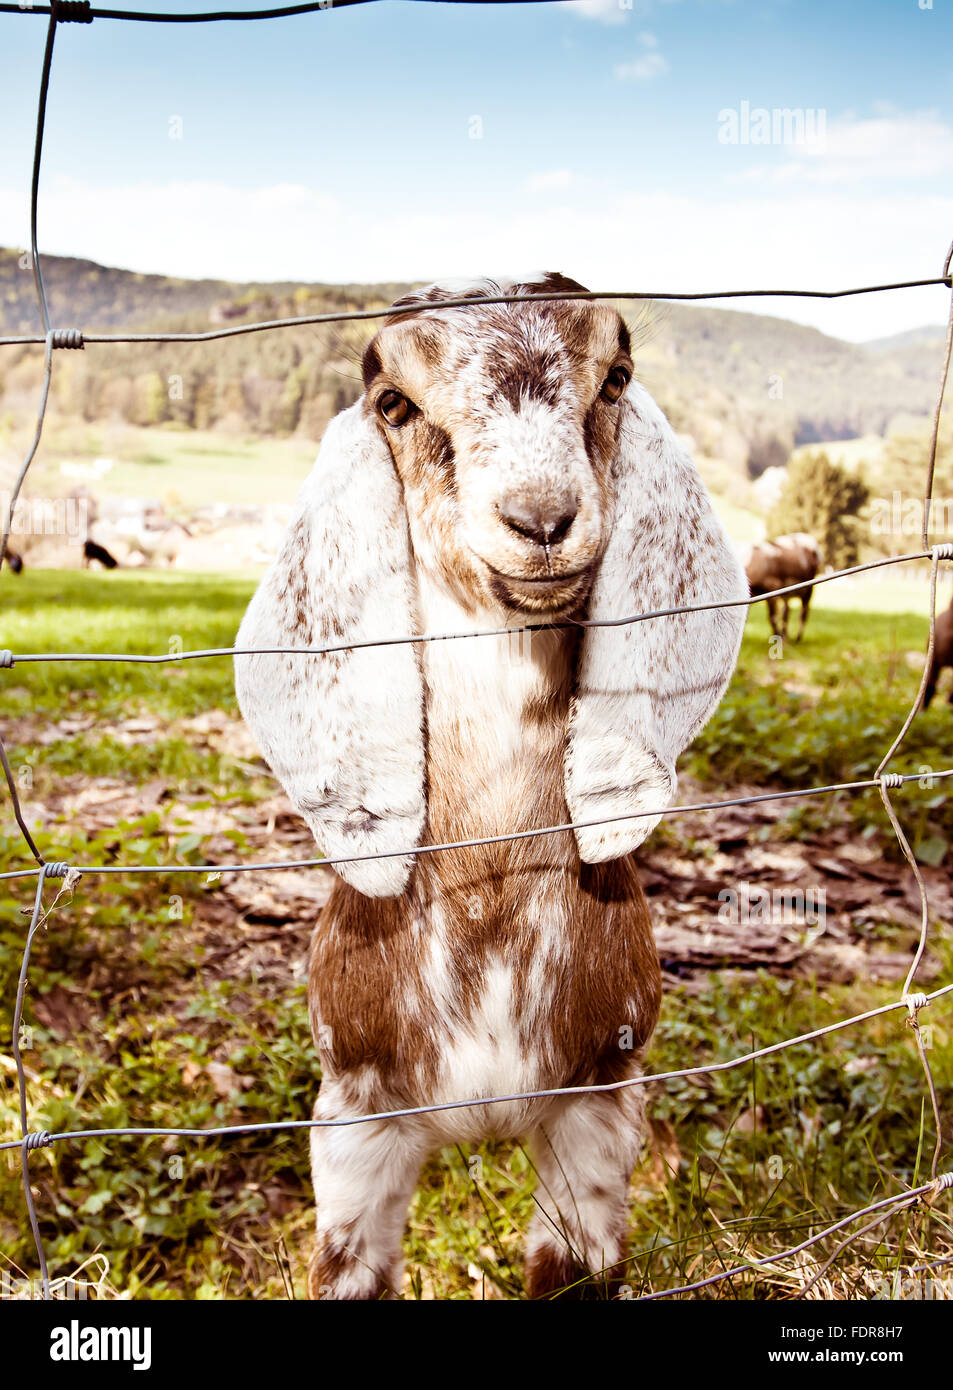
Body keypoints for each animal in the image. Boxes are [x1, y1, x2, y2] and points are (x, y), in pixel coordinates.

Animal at [234, 274, 747, 1300]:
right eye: (394, 402)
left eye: (614, 376)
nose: (541, 519)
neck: (490, 899)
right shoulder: (353, 1119)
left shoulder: (600, 1102)